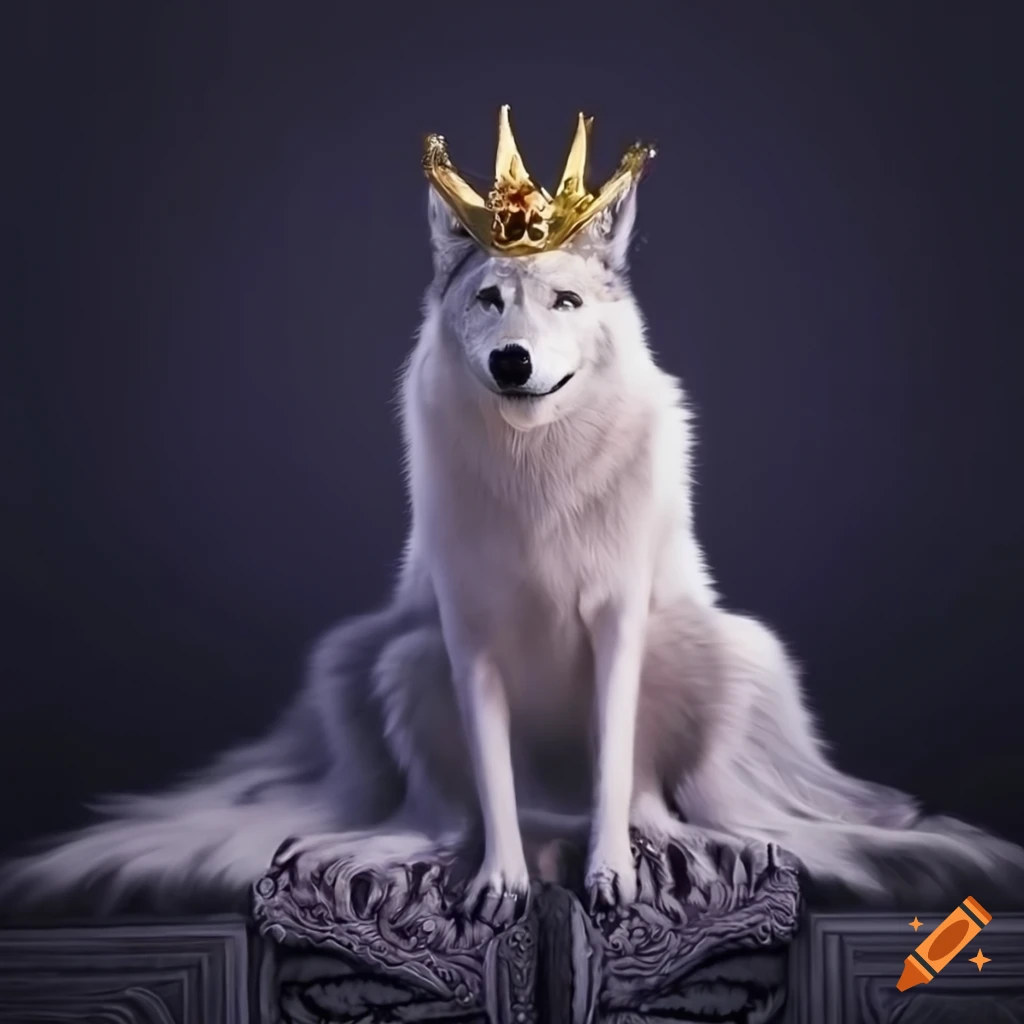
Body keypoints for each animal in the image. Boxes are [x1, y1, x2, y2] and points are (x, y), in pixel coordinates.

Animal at [4, 173, 1022, 920]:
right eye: (490, 299)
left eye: (563, 300)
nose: (513, 361)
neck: (541, 474)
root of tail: (552, 814)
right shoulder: (468, 645)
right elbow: (489, 784)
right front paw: (499, 881)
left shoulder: (618, 627)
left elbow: (615, 764)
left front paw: (610, 873)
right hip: (402, 662)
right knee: (437, 815)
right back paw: (403, 846)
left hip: (722, 648)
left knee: (655, 790)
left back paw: (664, 840)